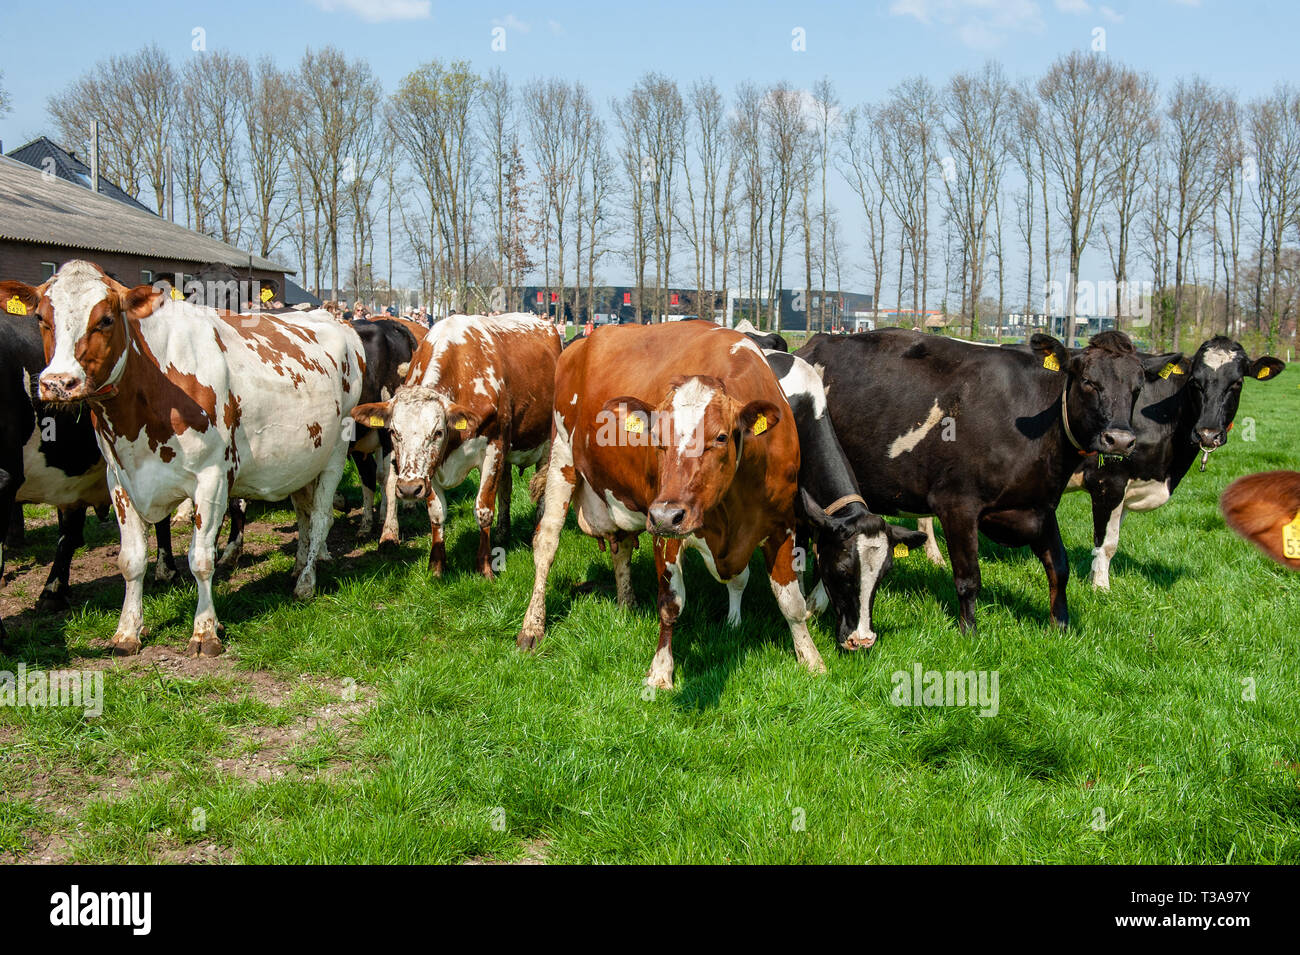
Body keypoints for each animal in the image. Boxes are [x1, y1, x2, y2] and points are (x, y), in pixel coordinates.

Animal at [17, 259, 363, 657]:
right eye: (42, 318)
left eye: (105, 318)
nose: (59, 383)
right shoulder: (119, 479)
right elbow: (131, 560)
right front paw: (127, 632)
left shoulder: (211, 477)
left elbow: (201, 558)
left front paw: (205, 631)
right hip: (303, 457)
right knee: (304, 512)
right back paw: (298, 564)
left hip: (335, 452)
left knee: (321, 516)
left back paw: (306, 582)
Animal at [349, 313, 560, 578]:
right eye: (394, 432)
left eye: (437, 432)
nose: (408, 489)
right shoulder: (429, 470)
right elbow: (437, 513)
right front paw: (437, 566)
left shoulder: (492, 451)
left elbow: (483, 509)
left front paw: (485, 567)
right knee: (506, 486)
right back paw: (503, 531)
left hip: (546, 443)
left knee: (543, 487)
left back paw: (536, 529)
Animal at [517, 320, 824, 689]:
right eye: (657, 438)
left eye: (721, 437)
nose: (667, 515)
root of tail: (581, 343)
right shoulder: (665, 532)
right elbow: (670, 604)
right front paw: (661, 671)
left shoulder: (782, 524)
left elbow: (791, 602)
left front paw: (811, 659)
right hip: (562, 456)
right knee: (546, 542)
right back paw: (532, 626)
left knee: (621, 546)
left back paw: (627, 604)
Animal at [797, 329, 1161, 632]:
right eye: (1088, 381)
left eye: (1137, 388)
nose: (1120, 440)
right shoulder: (958, 504)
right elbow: (968, 577)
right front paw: (968, 631)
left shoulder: (1040, 506)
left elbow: (1060, 566)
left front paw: (1061, 625)